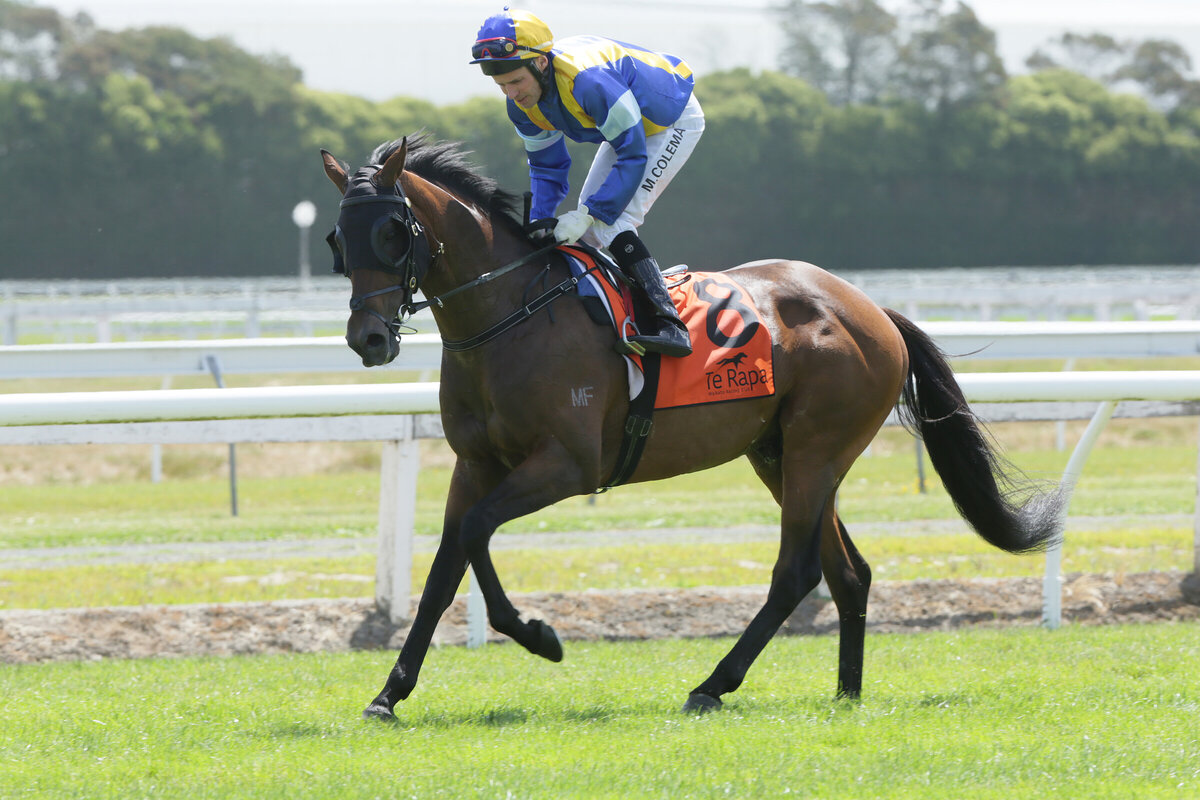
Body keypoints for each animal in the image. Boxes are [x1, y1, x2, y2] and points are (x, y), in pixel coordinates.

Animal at [319, 135, 1063, 721]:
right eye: (338, 241)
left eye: (390, 233)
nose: (368, 338)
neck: (511, 315)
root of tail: (871, 310)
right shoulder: (476, 464)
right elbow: (447, 564)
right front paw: (390, 692)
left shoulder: (568, 465)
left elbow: (475, 535)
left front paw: (539, 634)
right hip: (780, 453)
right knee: (848, 572)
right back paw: (846, 694)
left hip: (818, 447)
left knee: (797, 571)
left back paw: (713, 684)